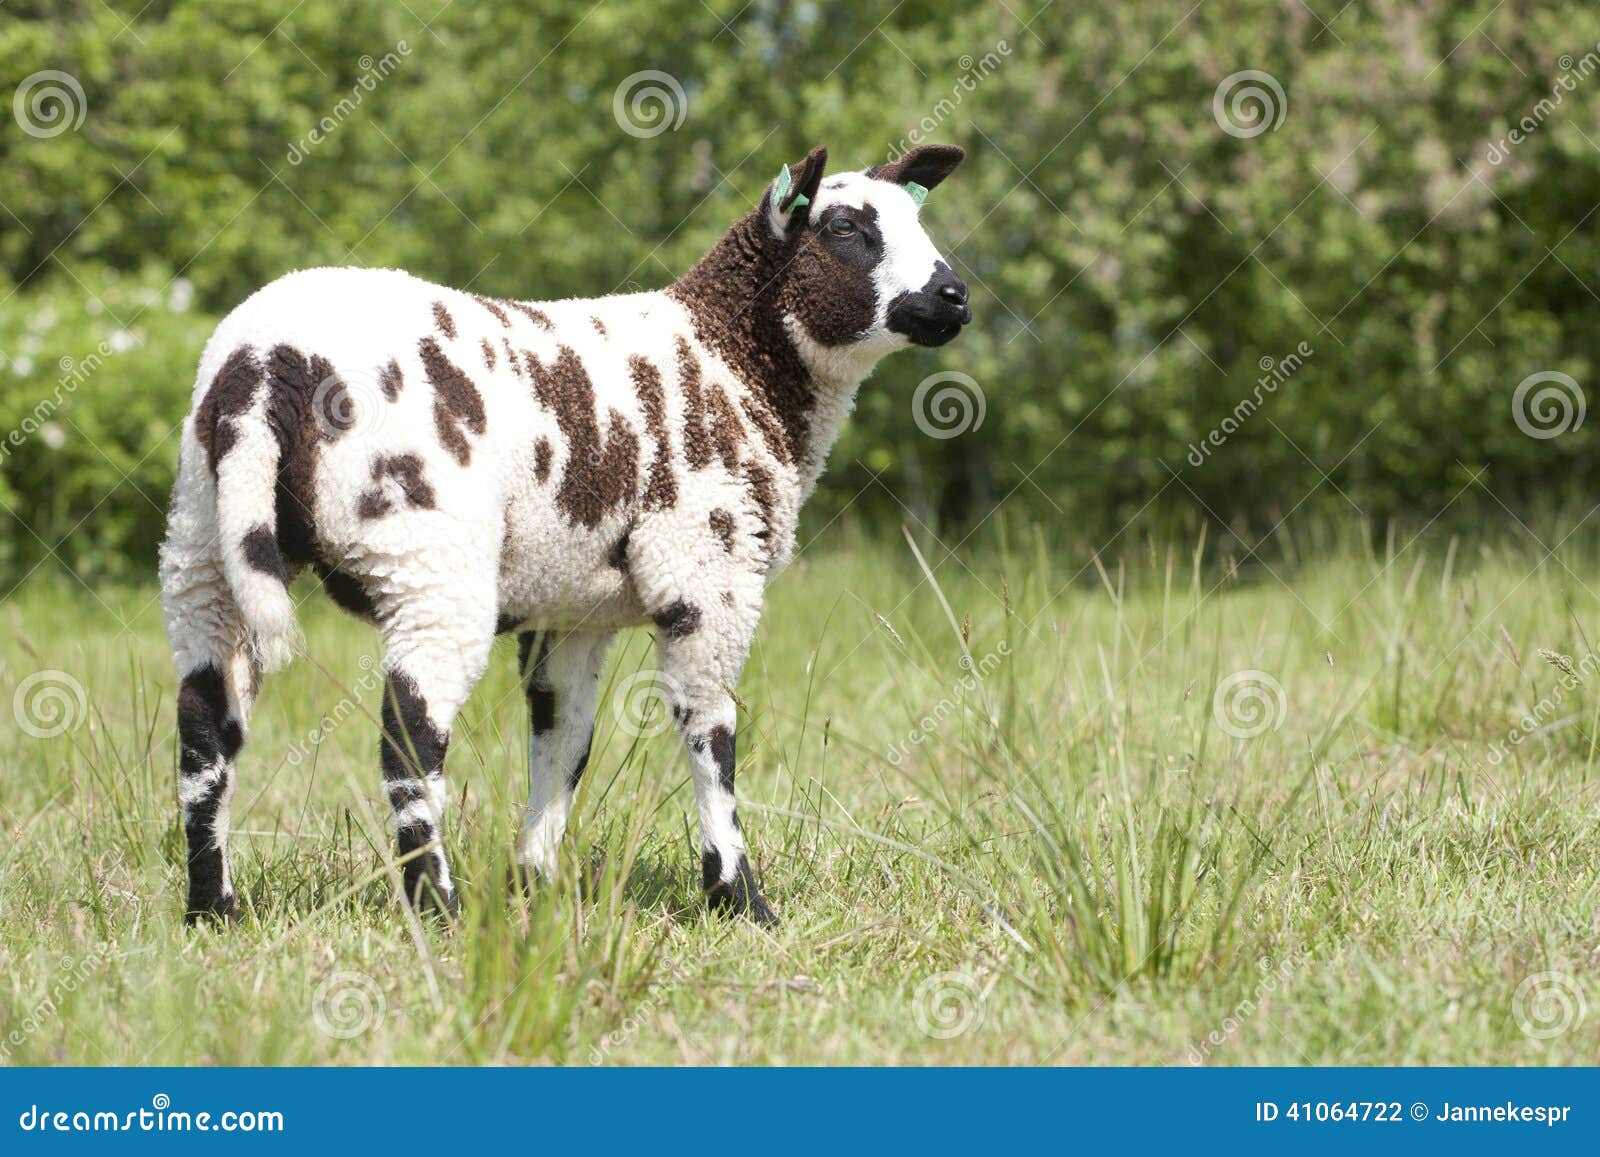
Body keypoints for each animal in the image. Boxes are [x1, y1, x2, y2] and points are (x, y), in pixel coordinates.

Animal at [160, 143, 971, 926]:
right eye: (845, 228)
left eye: (916, 217)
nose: (954, 295)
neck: (731, 359)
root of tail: (264, 368)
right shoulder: (707, 569)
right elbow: (711, 737)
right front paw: (738, 897)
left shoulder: (574, 611)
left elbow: (562, 743)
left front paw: (536, 884)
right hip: (429, 559)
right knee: (408, 738)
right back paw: (437, 909)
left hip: (201, 546)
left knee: (205, 732)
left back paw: (214, 909)